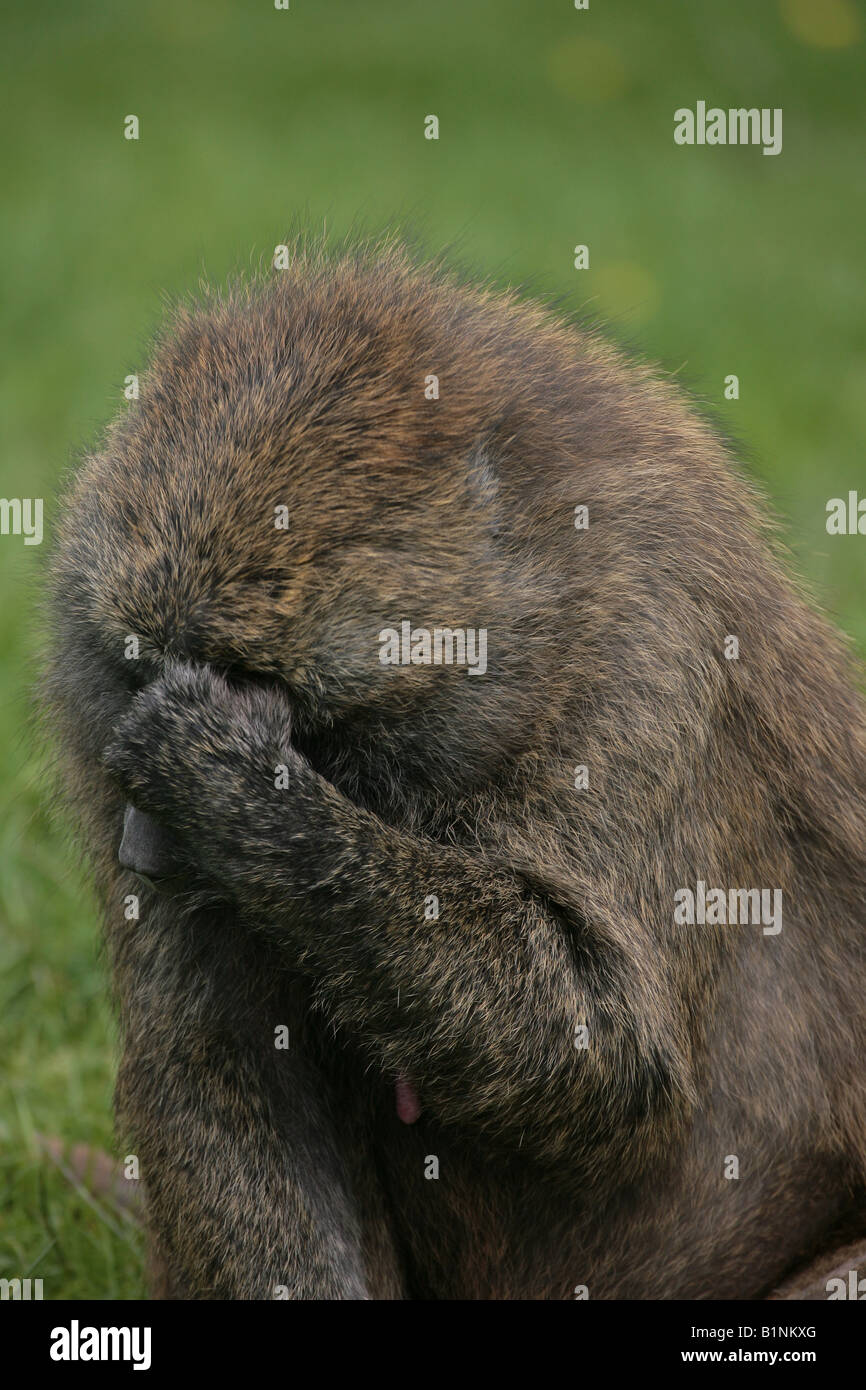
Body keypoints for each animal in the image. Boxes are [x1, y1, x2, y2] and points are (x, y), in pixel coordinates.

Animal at [42, 238, 866, 1299]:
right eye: (145, 663)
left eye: (251, 683)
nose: (141, 848)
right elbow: (224, 1059)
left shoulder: (649, 646)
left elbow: (605, 1046)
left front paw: (226, 783)